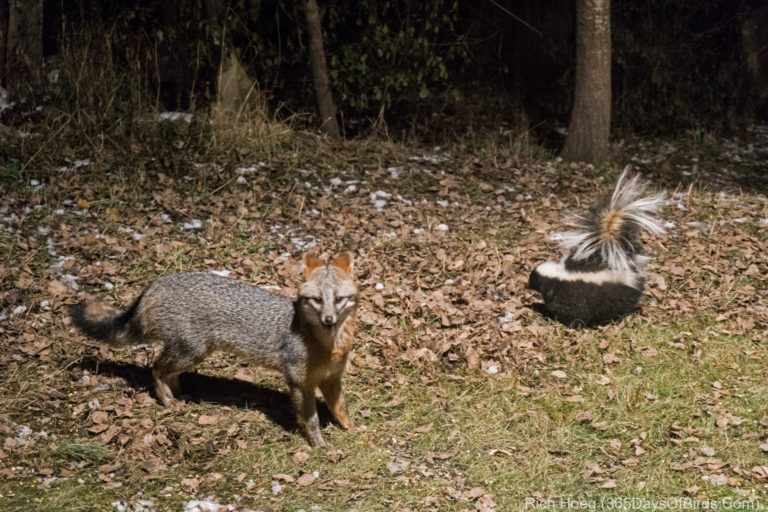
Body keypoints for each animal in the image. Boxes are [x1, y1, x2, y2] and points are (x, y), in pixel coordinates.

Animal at [69, 252, 358, 447]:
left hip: (191, 353)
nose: (328, 319)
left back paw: (180, 395)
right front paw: (319, 445)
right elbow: (311, 419)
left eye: (339, 300)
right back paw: (167, 401)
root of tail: (157, 283)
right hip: (192, 352)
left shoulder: (332, 379)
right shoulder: (299, 382)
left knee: (168, 372)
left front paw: (353, 430)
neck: (328, 345)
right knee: (156, 368)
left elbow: (341, 408)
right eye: (317, 300)